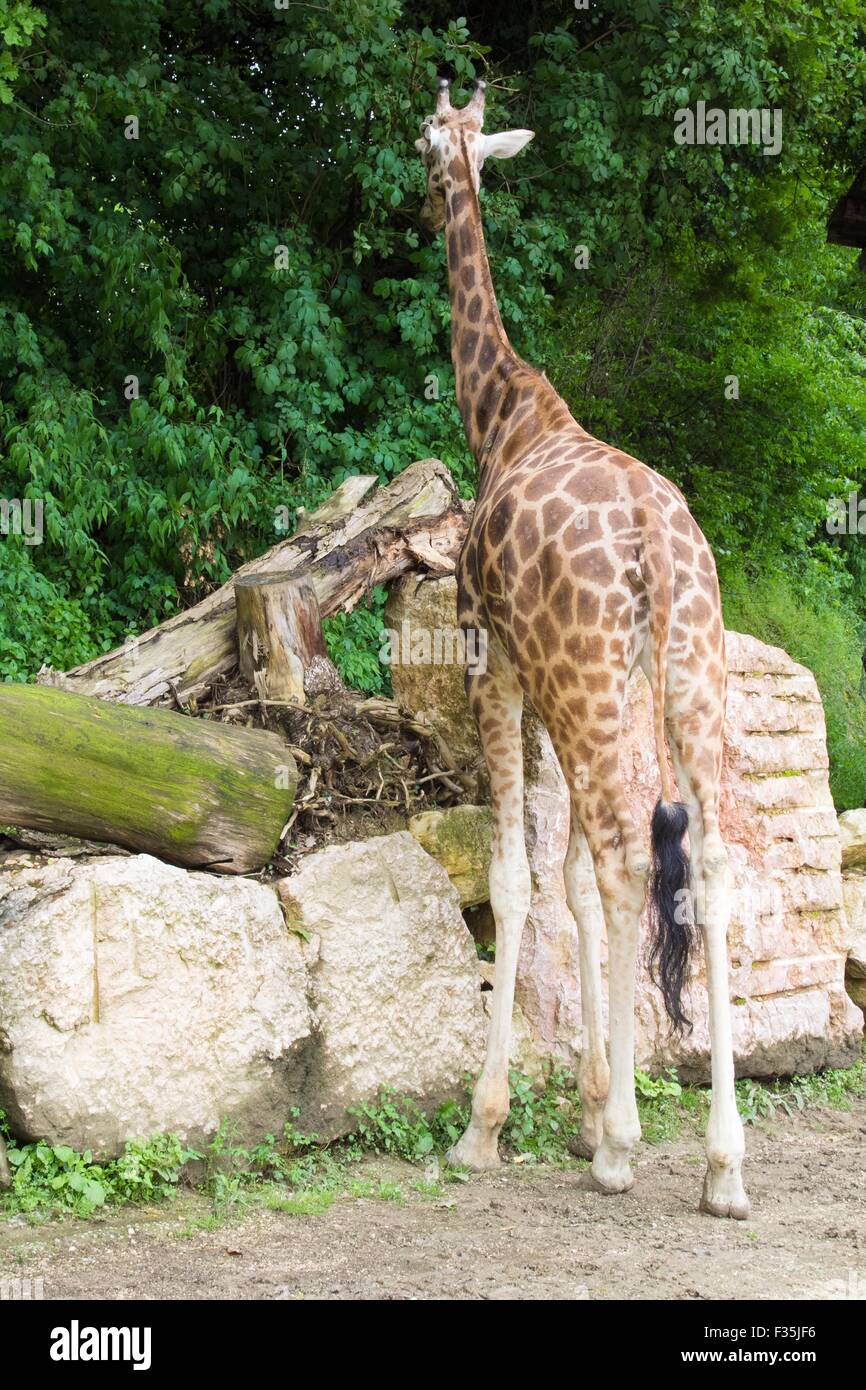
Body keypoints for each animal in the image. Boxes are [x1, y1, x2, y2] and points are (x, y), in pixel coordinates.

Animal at [415, 78, 749, 1218]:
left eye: (424, 140)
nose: (415, 189)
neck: (501, 417)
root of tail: (654, 535)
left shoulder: (496, 665)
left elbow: (519, 878)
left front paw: (490, 1126)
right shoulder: (561, 687)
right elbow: (566, 884)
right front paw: (597, 1102)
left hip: (593, 680)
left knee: (623, 858)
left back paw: (627, 1152)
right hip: (683, 673)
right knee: (706, 859)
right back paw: (721, 1165)